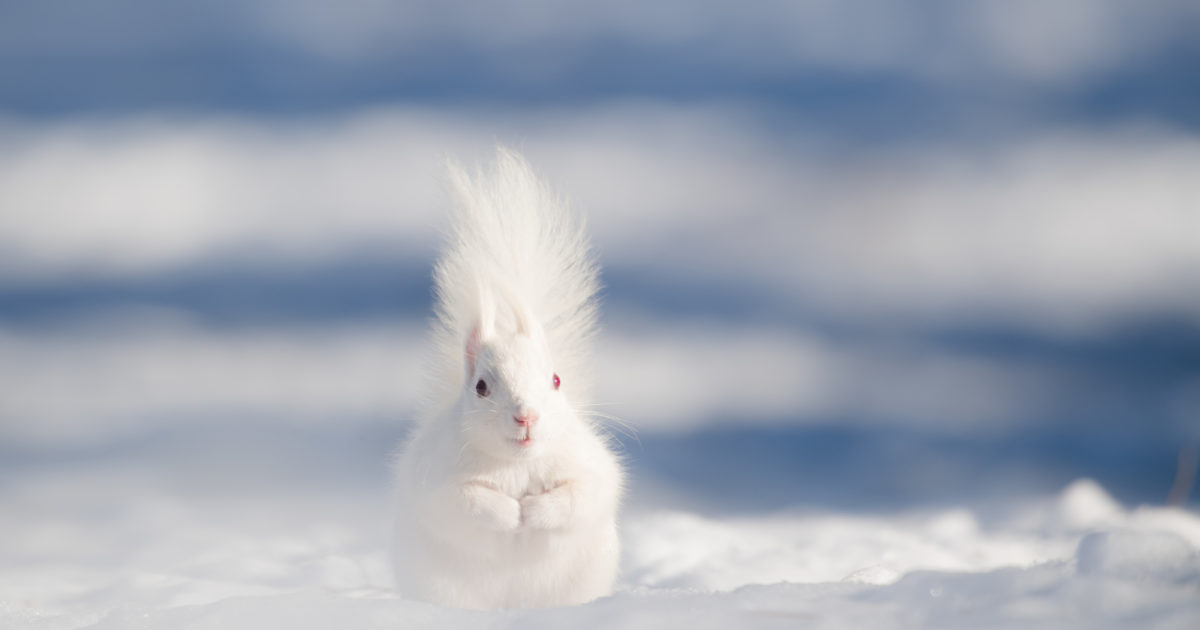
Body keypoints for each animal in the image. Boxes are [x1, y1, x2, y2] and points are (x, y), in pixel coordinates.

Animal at [391, 148, 624, 610]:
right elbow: (464, 502)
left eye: (556, 380)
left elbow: (582, 496)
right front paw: (510, 513)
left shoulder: (587, 466)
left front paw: (534, 511)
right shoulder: (435, 480)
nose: (526, 417)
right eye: (481, 387)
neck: (518, 467)